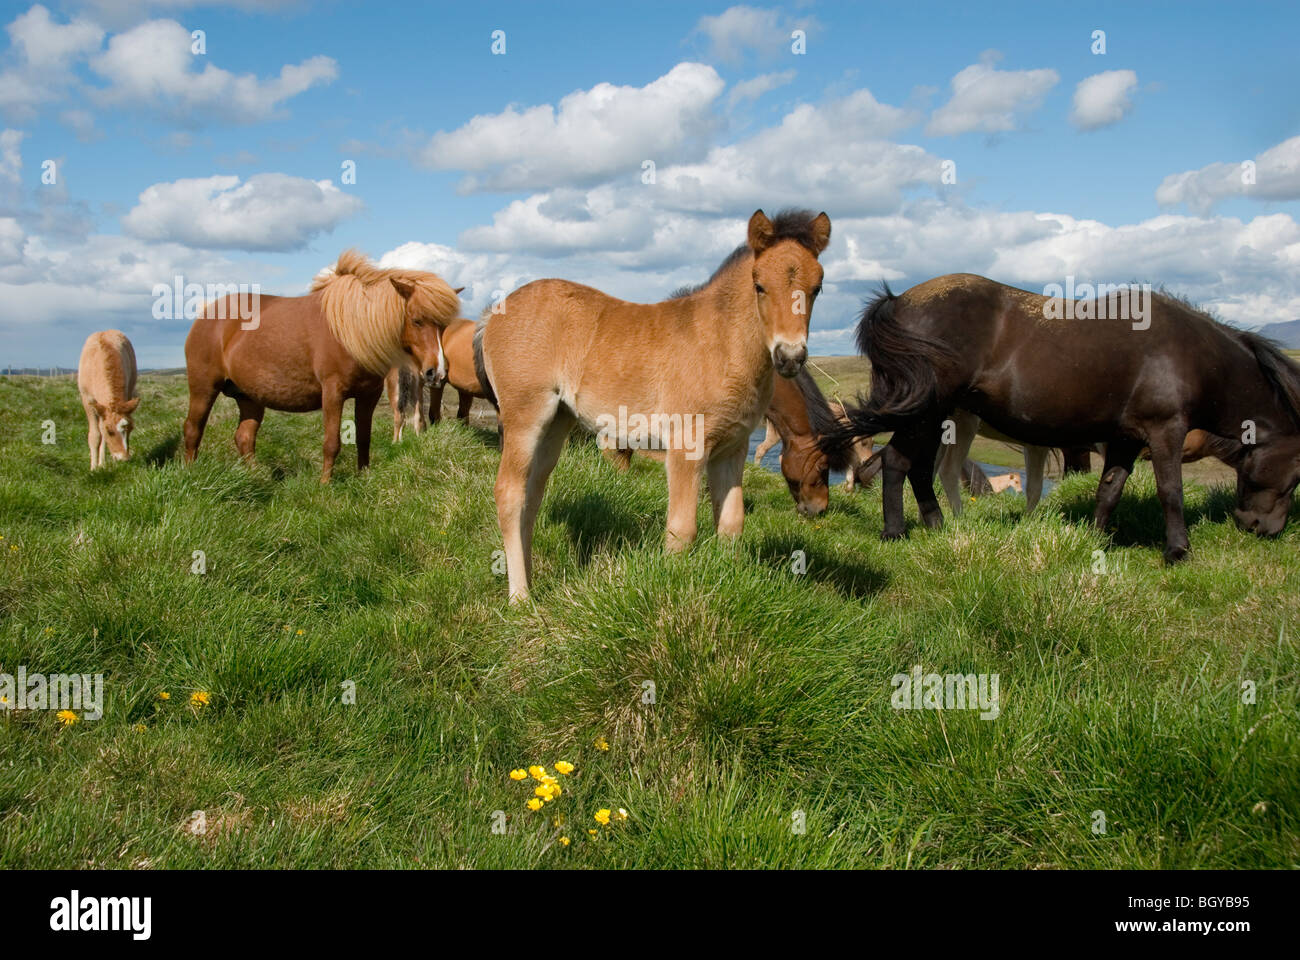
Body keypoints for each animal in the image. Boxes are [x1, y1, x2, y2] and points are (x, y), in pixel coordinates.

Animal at [77, 330, 139, 469]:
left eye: (130, 429)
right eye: (110, 432)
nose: (123, 459)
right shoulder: (87, 400)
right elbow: (95, 435)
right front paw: (93, 468)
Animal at [183, 250, 460, 482]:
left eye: (444, 325)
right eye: (417, 320)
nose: (436, 372)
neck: (353, 332)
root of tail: (205, 315)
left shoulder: (368, 395)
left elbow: (364, 438)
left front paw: (364, 478)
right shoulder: (332, 393)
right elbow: (331, 442)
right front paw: (325, 484)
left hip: (249, 397)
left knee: (244, 438)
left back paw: (257, 478)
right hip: (204, 388)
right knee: (193, 430)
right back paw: (191, 473)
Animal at [478, 208, 831, 601]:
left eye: (817, 287)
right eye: (759, 285)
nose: (789, 357)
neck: (722, 343)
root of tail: (493, 313)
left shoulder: (732, 449)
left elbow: (731, 523)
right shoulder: (686, 447)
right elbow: (681, 530)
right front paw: (673, 597)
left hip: (556, 423)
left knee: (532, 494)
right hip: (525, 415)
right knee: (509, 494)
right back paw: (520, 597)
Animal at [817, 274, 1300, 562]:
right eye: (1298, 475)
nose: (1261, 529)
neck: (1190, 355)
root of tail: (897, 301)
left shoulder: (1125, 439)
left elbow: (1110, 489)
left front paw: (1096, 539)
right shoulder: (1166, 432)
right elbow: (1171, 491)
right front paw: (1177, 550)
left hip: (937, 419)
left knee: (919, 469)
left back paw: (938, 526)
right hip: (926, 415)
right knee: (898, 463)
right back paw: (895, 532)